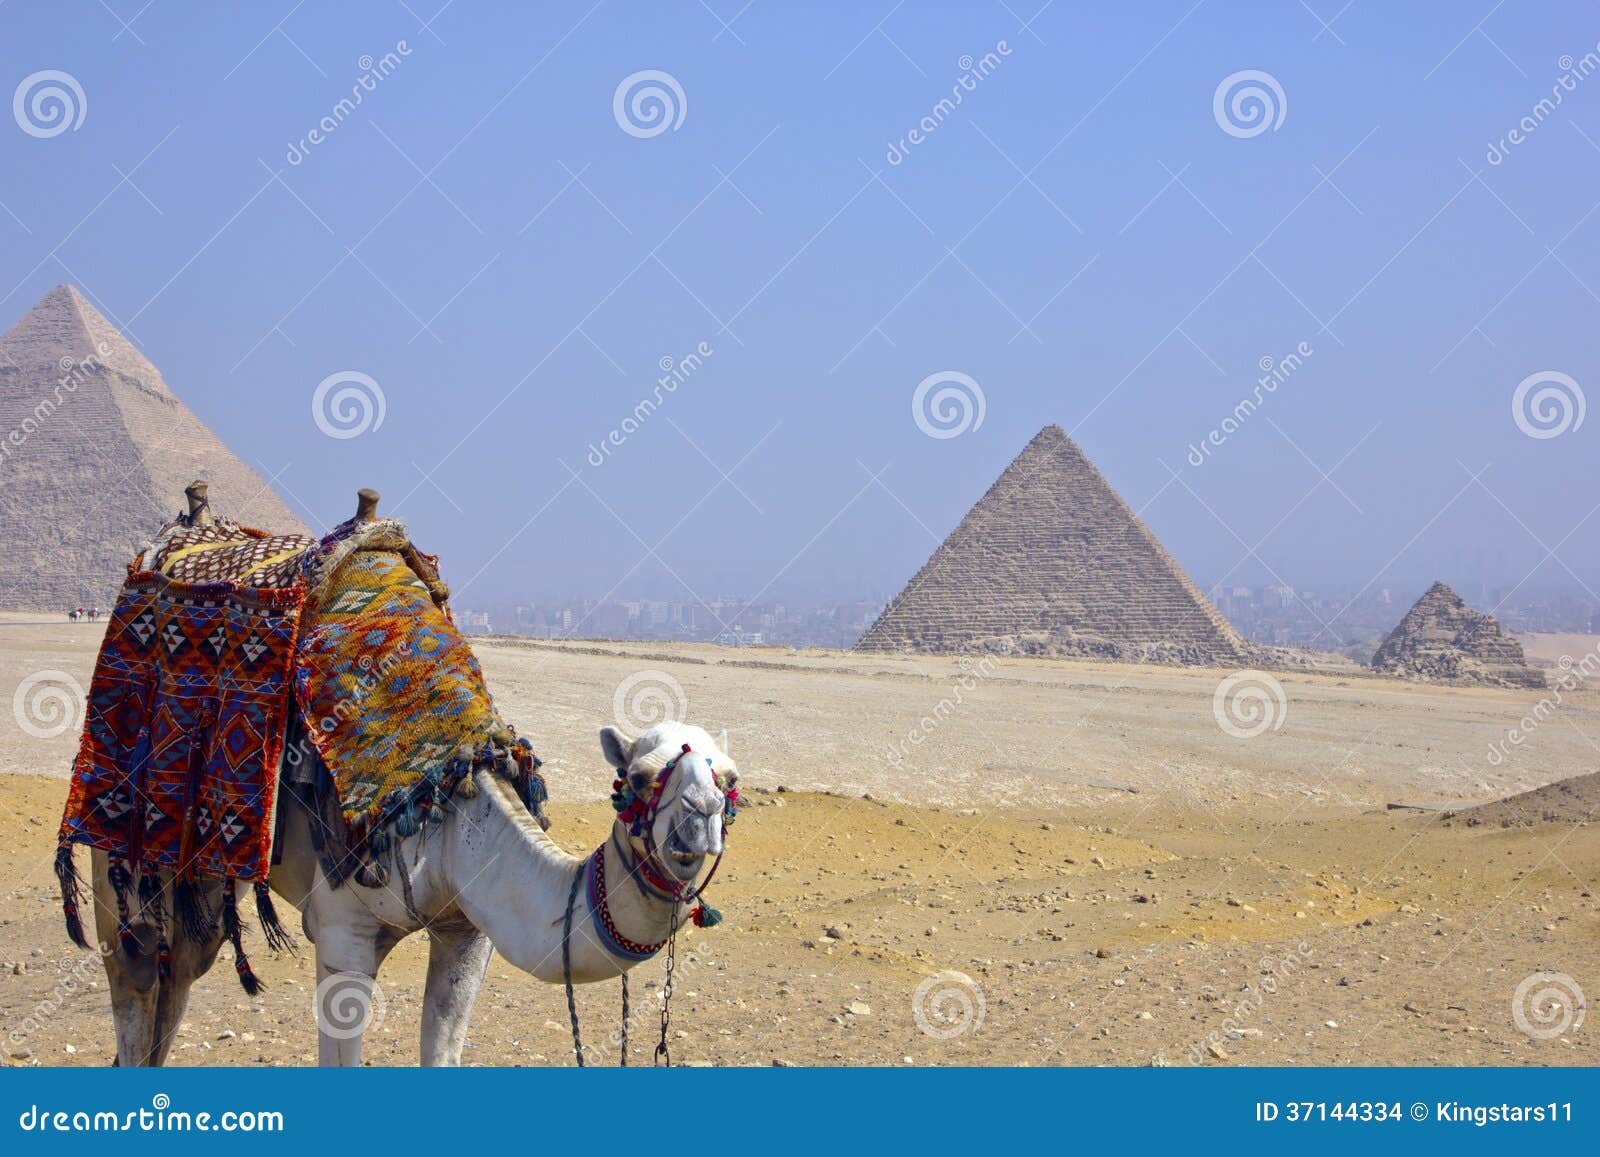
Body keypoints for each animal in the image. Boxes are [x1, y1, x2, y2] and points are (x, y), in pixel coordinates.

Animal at [86, 714, 737, 1067]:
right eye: (638, 776)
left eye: (730, 779)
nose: (700, 814)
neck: (449, 823)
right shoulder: (344, 930)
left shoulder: (467, 929)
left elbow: (442, 1049)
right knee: (136, 972)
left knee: (180, 970)